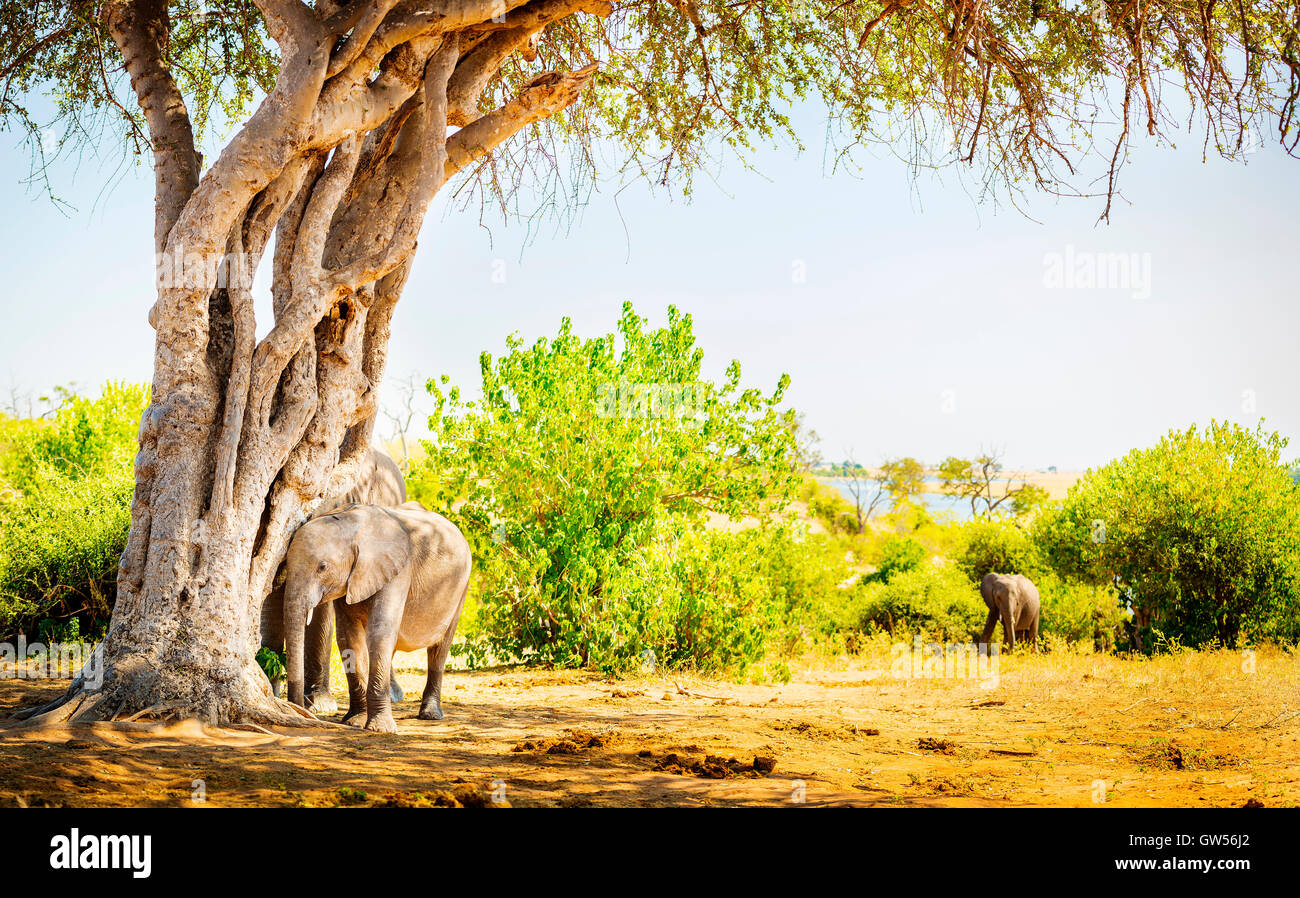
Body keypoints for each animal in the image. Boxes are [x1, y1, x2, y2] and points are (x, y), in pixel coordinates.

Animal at [282, 501, 472, 733]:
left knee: (439, 650)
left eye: (322, 567)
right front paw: (355, 721)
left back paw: (430, 715)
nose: (302, 710)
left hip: (461, 588)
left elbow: (379, 630)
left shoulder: (398, 570)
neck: (351, 522)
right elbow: (348, 637)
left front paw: (379, 729)